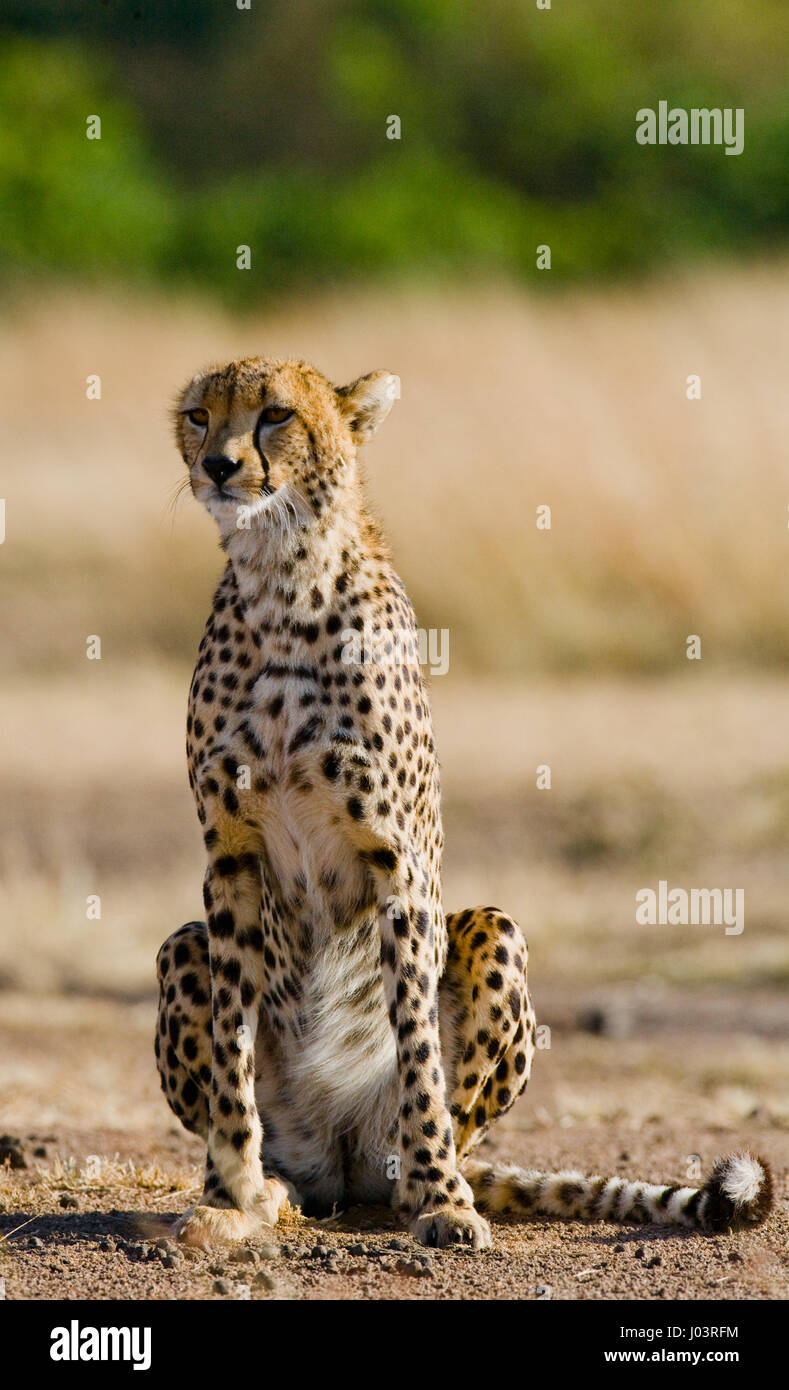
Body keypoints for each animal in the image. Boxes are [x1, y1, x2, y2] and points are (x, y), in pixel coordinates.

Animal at [154, 354, 773, 1251]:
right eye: (199, 414)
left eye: (275, 415)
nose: (218, 465)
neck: (280, 577)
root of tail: (340, 1160)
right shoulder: (229, 854)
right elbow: (231, 1037)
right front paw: (230, 1192)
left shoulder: (397, 859)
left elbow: (415, 1035)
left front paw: (442, 1199)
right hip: (183, 946)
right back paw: (274, 1182)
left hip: (494, 932)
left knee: (448, 1111)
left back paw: (421, 1177)